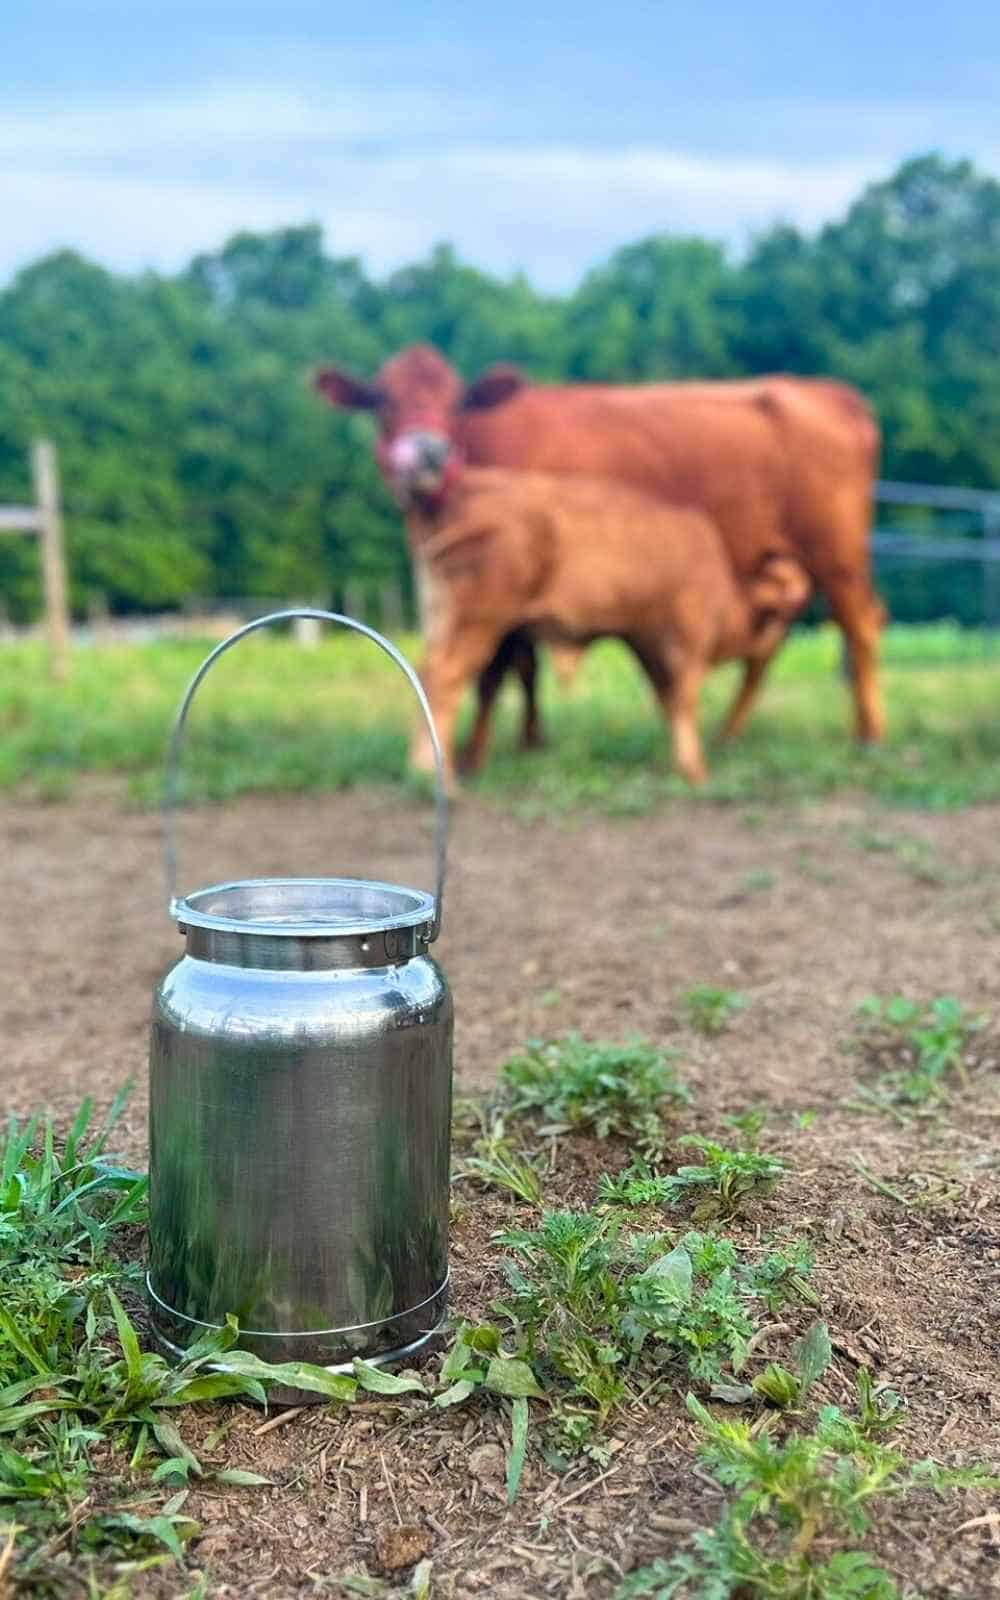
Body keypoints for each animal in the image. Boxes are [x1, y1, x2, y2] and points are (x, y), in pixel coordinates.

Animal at [315, 346, 885, 755]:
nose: (427, 455)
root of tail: (828, 391)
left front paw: (490, 748)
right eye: (382, 400)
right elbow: (522, 666)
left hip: (835, 554)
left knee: (860, 624)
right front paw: (530, 738)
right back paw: (727, 733)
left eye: (456, 401)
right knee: (772, 648)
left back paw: (870, 733)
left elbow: (504, 667)